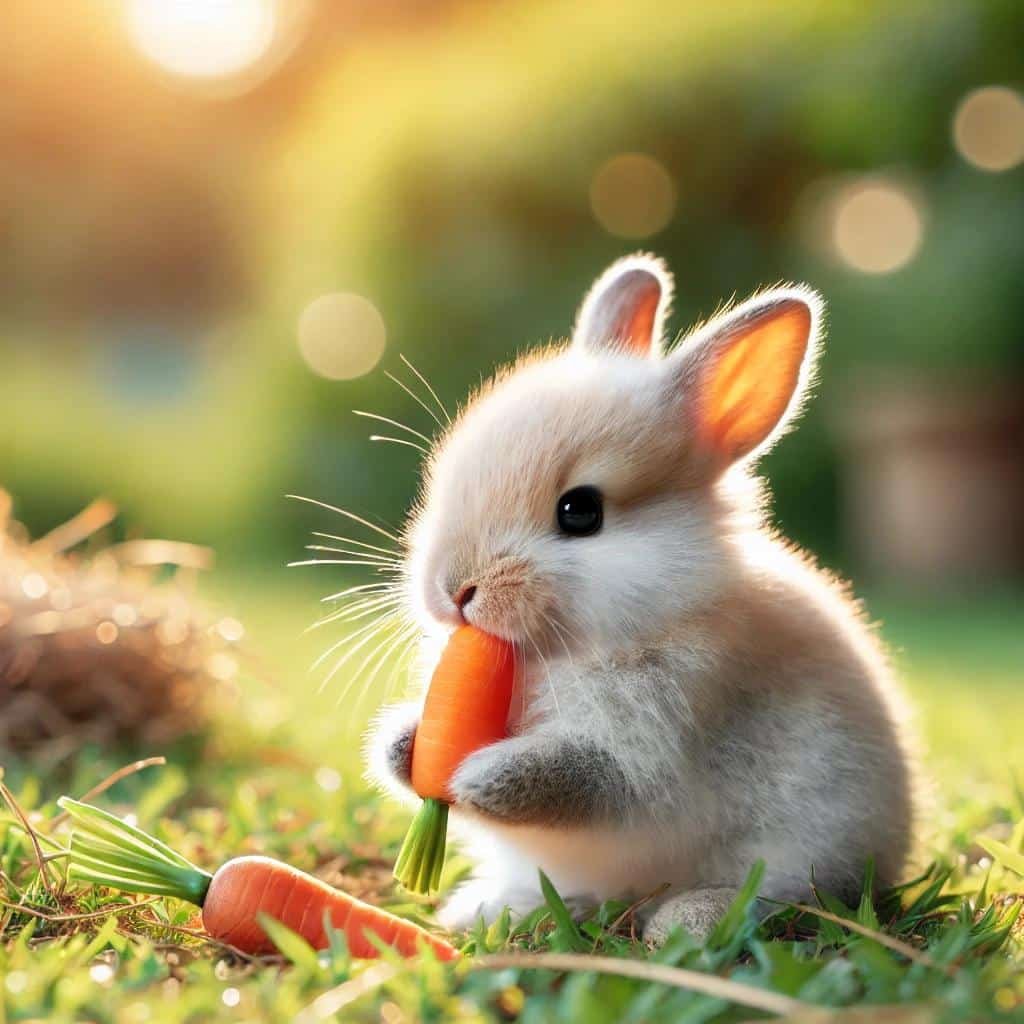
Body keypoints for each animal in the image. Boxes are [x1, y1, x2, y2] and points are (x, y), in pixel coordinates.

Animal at [365, 253, 919, 942]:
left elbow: (578, 778)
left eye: (580, 512)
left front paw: (476, 775)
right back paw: (490, 909)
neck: (552, 654)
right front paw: (404, 749)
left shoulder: (651, 740)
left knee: (792, 898)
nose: (453, 590)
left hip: (803, 850)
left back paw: (687, 921)